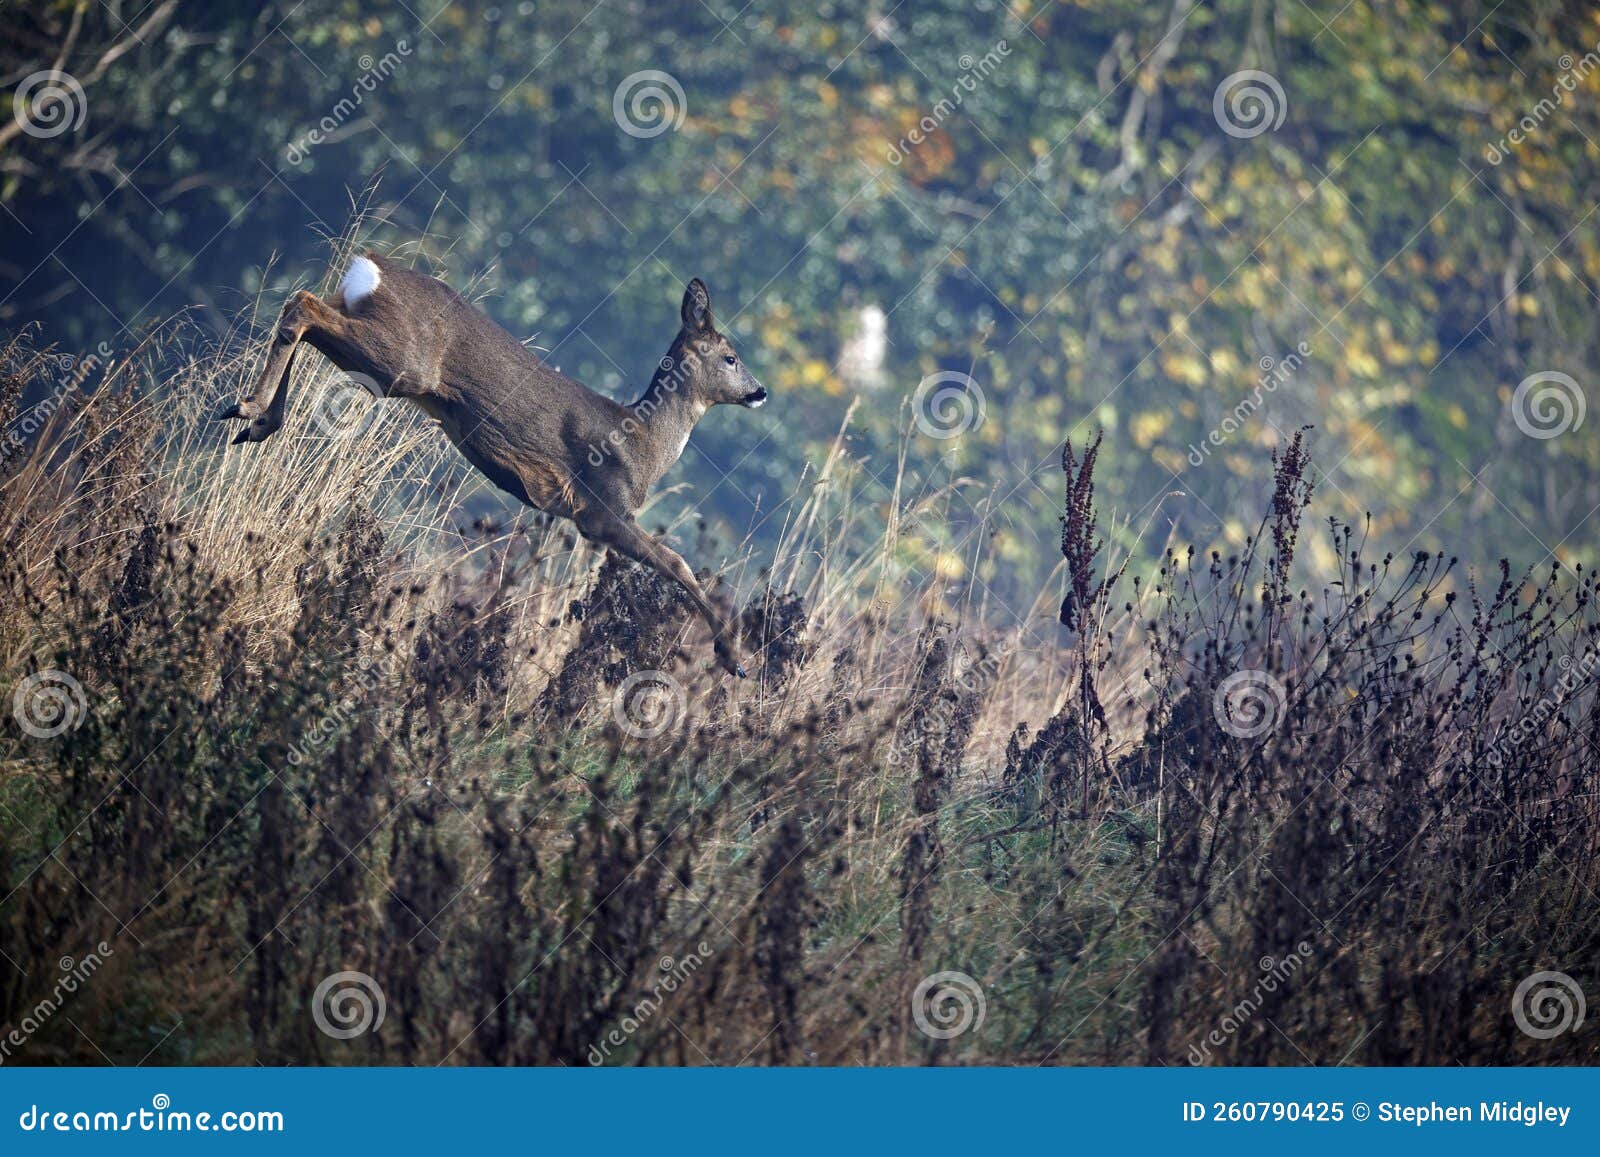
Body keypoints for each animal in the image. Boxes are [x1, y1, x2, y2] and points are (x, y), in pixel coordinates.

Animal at [216, 253, 768, 677]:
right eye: (731, 357)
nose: (760, 391)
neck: (645, 444)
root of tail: (371, 269)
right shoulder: (602, 510)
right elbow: (677, 562)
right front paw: (733, 658)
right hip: (401, 363)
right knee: (302, 304)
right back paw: (249, 408)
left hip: (375, 345)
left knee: (306, 306)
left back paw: (257, 420)